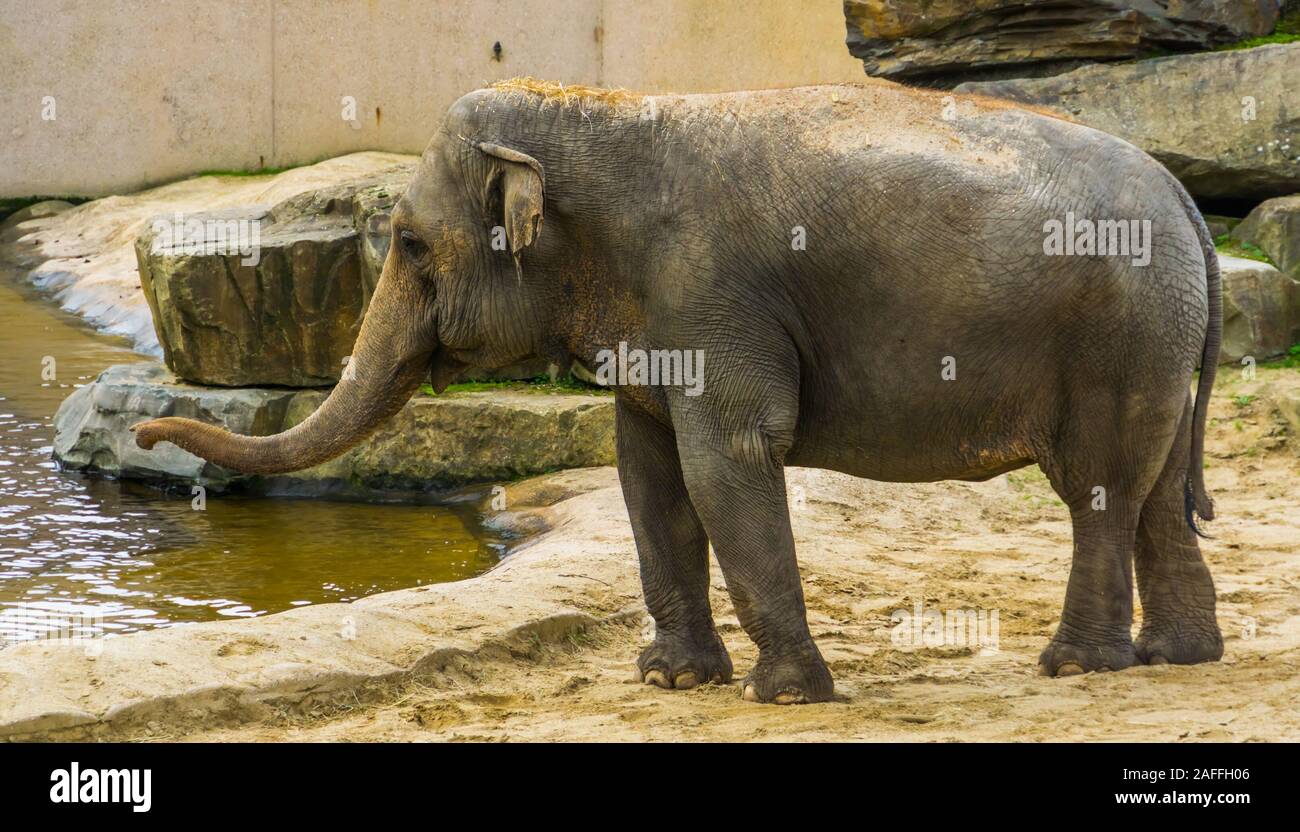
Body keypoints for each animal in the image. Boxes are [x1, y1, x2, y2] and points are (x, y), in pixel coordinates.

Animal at [134, 77, 1224, 704]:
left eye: (404, 243)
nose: (146, 437)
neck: (600, 110)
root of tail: (1184, 200)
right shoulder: (659, 323)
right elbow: (646, 474)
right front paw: (672, 681)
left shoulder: (711, 296)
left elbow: (724, 460)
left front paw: (786, 696)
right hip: (1152, 337)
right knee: (1156, 488)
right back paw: (1176, 656)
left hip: (1114, 333)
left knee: (1099, 488)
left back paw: (1078, 665)